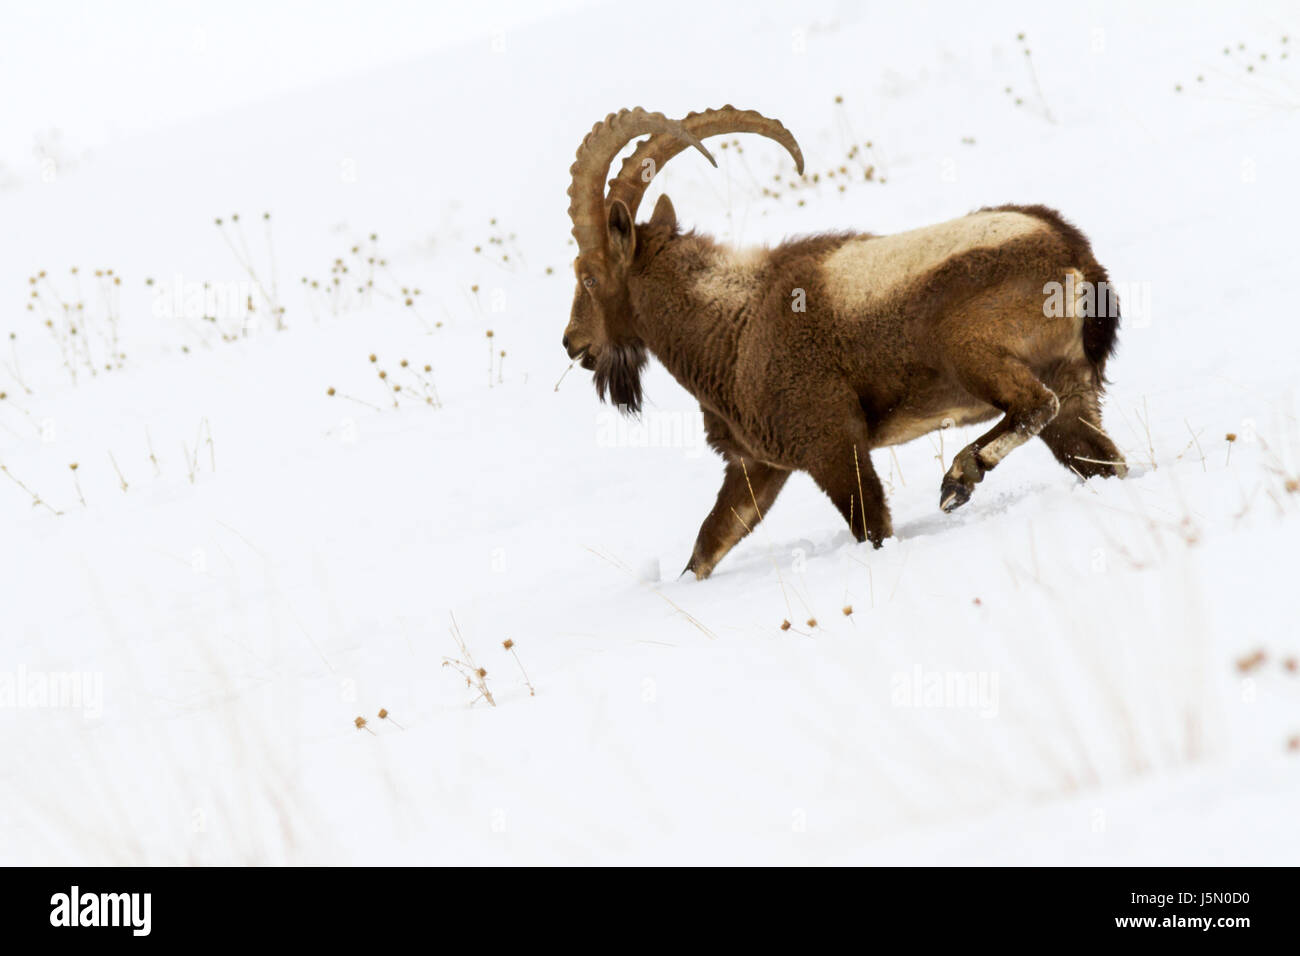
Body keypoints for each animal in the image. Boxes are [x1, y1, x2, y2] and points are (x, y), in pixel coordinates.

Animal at [563, 106, 1127, 579]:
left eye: (588, 276)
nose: (572, 343)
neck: (733, 324)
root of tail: (1072, 250)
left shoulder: (832, 442)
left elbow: (872, 527)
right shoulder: (758, 465)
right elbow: (709, 542)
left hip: (971, 350)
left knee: (1034, 404)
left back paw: (960, 478)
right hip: (1073, 383)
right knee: (1099, 457)